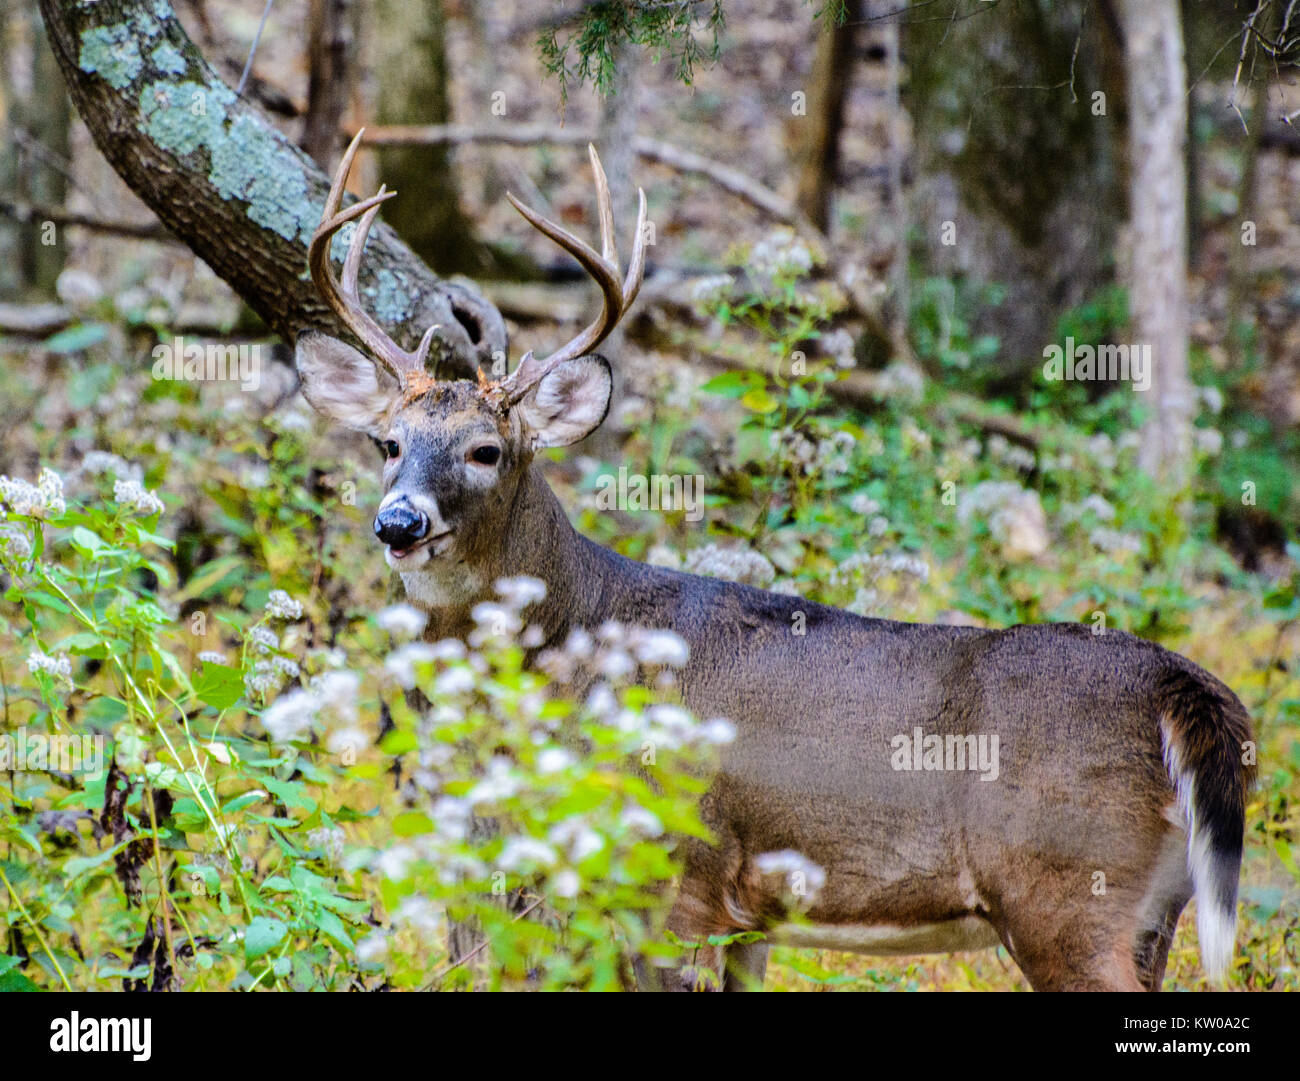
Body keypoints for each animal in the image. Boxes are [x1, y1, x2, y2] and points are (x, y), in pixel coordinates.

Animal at [295, 131, 1255, 992]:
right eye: (388, 441)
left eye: (487, 450)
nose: (398, 521)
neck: (581, 650)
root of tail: (1188, 690)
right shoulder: (743, 918)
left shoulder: (675, 876)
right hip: (1153, 913)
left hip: (1067, 892)